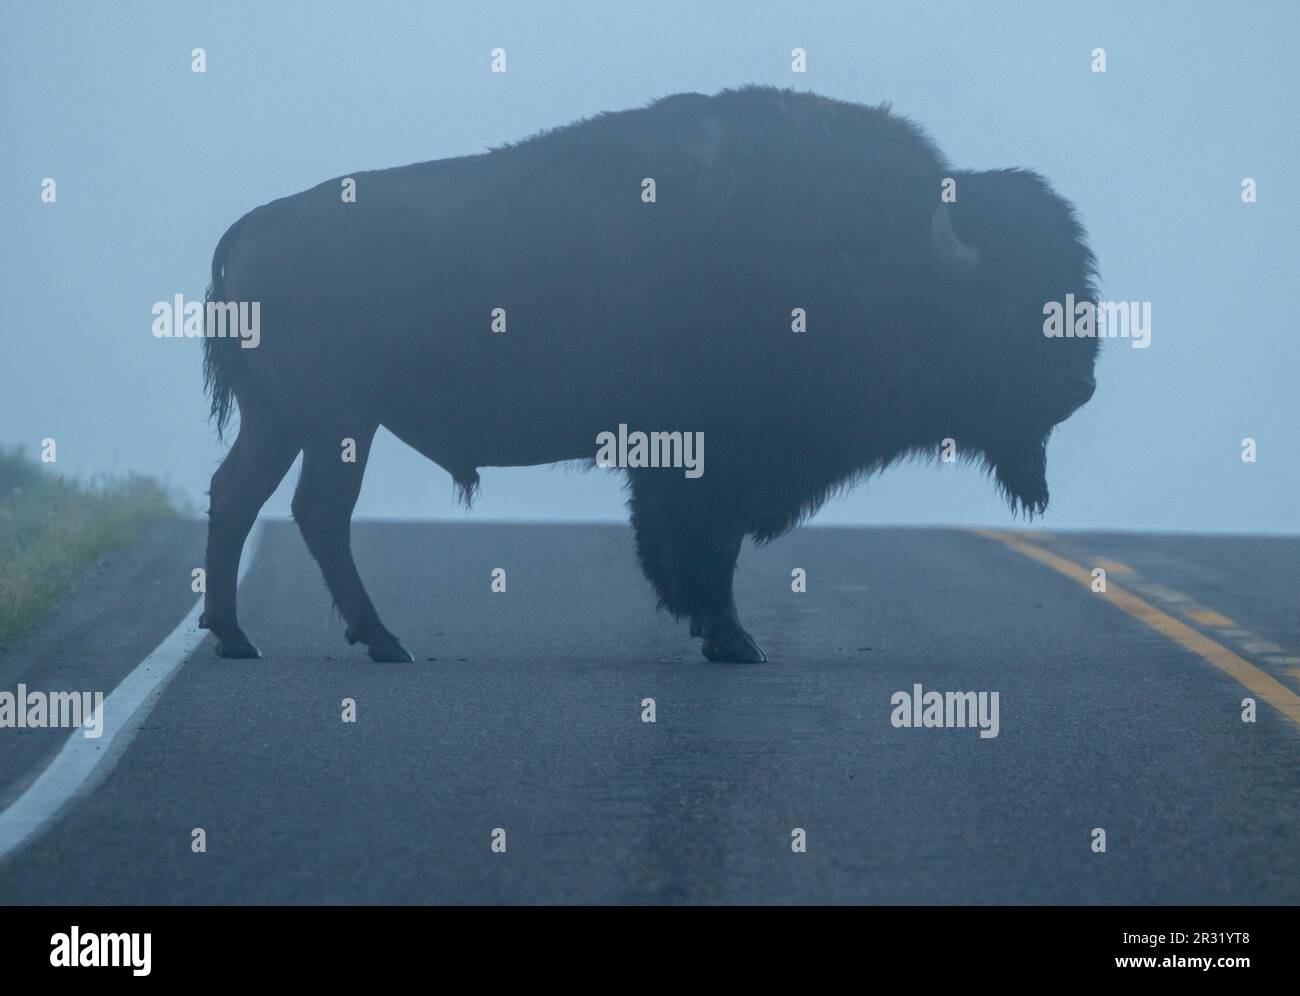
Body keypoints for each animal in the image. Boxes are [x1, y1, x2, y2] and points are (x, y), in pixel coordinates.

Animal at [199, 86, 1099, 664]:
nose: (1079, 386)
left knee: (241, 496)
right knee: (316, 512)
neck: (881, 251)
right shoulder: (712, 456)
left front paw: (712, 628)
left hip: (287, 422)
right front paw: (733, 640)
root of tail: (255, 226)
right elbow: (707, 544)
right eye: (1008, 299)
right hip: (336, 422)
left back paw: (242, 638)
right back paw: (382, 643)